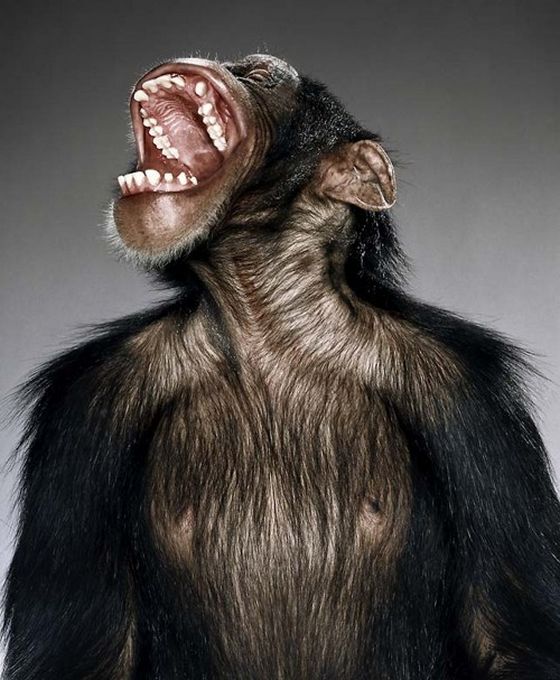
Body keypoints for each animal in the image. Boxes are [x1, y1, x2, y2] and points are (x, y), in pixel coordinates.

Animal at [3, 53, 560, 679]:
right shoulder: (90, 401)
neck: (267, 323)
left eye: (262, 75)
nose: (227, 64)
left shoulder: (467, 393)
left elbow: (506, 637)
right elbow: (85, 650)